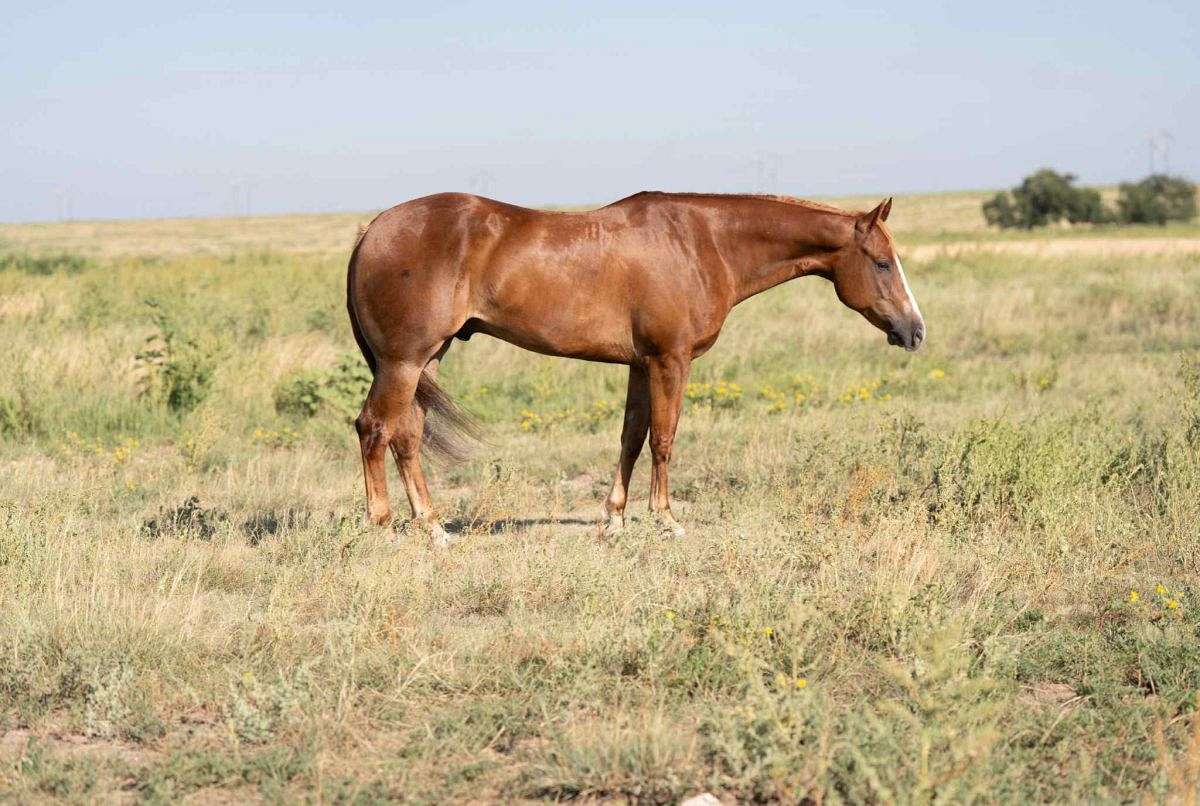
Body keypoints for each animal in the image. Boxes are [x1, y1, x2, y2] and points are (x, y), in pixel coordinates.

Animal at [346, 191, 924, 546]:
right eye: (881, 263)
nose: (914, 331)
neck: (702, 243)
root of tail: (371, 231)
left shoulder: (640, 364)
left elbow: (631, 435)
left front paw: (615, 519)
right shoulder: (671, 359)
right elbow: (664, 438)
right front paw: (666, 520)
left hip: (428, 360)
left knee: (407, 437)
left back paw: (432, 527)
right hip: (403, 363)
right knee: (374, 429)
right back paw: (383, 527)